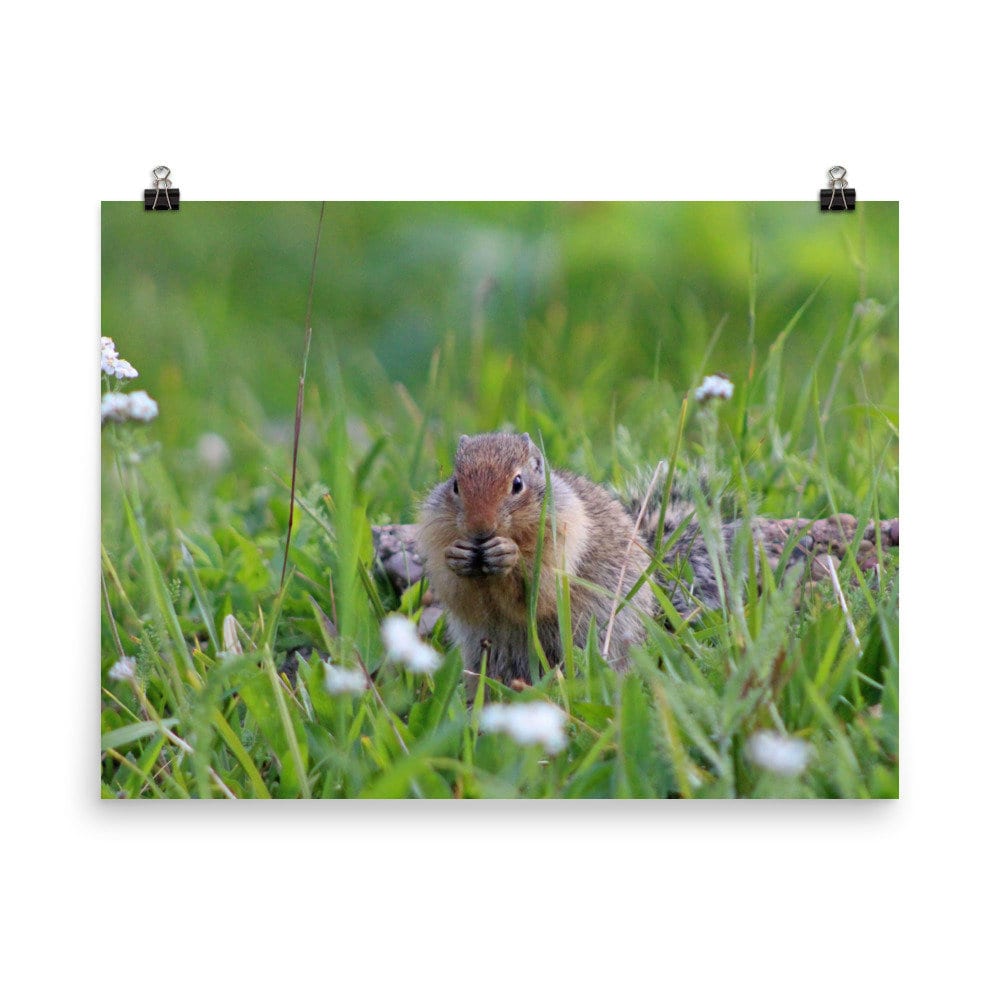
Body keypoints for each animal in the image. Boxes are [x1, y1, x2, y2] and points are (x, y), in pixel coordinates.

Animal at [417, 431, 655, 684]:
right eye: (455, 484)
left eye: (517, 483)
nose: (479, 529)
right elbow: (460, 596)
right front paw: (457, 556)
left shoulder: (560, 542)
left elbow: (539, 589)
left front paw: (509, 554)